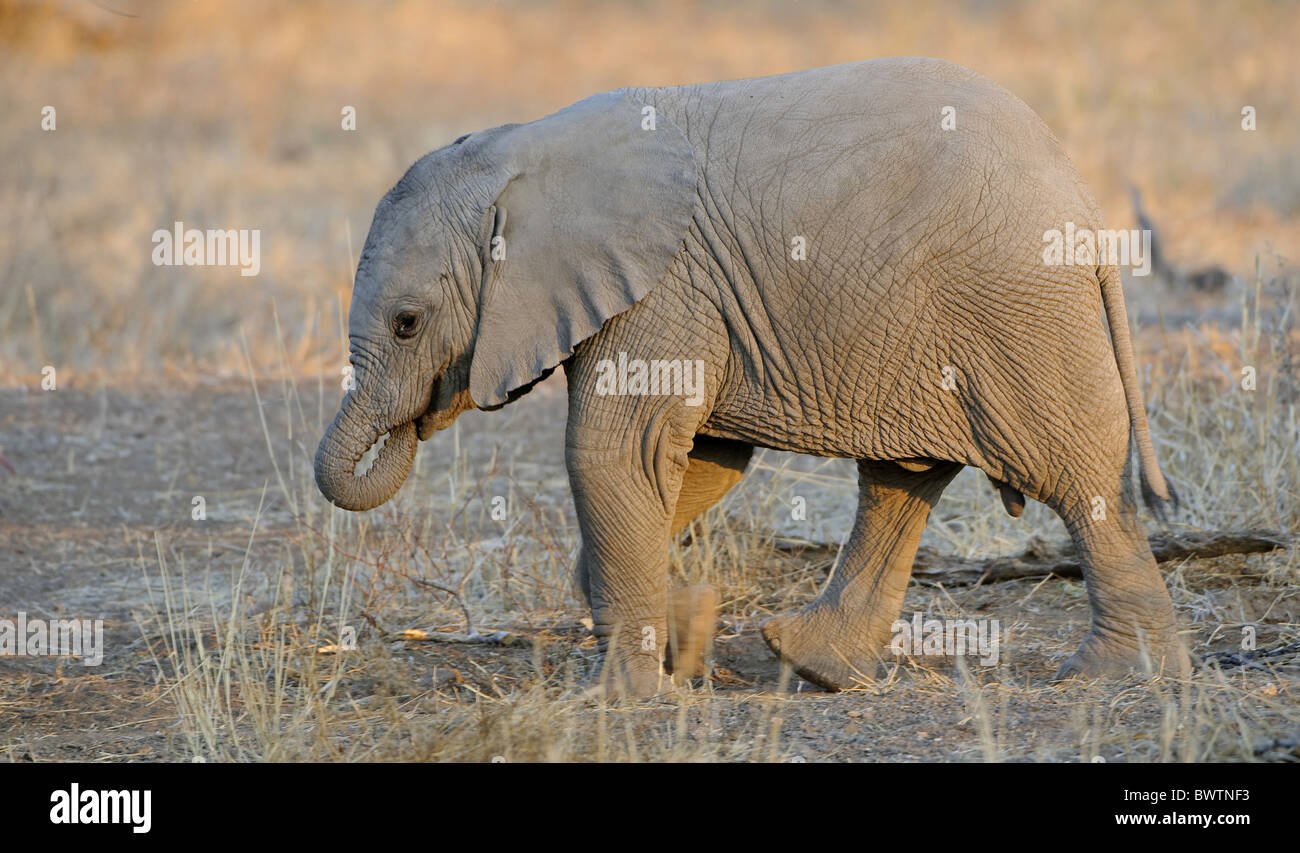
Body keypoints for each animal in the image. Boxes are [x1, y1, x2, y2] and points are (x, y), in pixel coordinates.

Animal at [314, 57, 1191, 697]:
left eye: (407, 323)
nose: (415, 416)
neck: (520, 151)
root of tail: (1084, 204)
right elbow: (696, 462)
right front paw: (681, 625)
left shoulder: (665, 285)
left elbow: (614, 454)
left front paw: (623, 699)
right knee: (904, 478)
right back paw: (814, 665)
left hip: (1015, 313)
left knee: (1077, 481)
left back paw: (1114, 675)